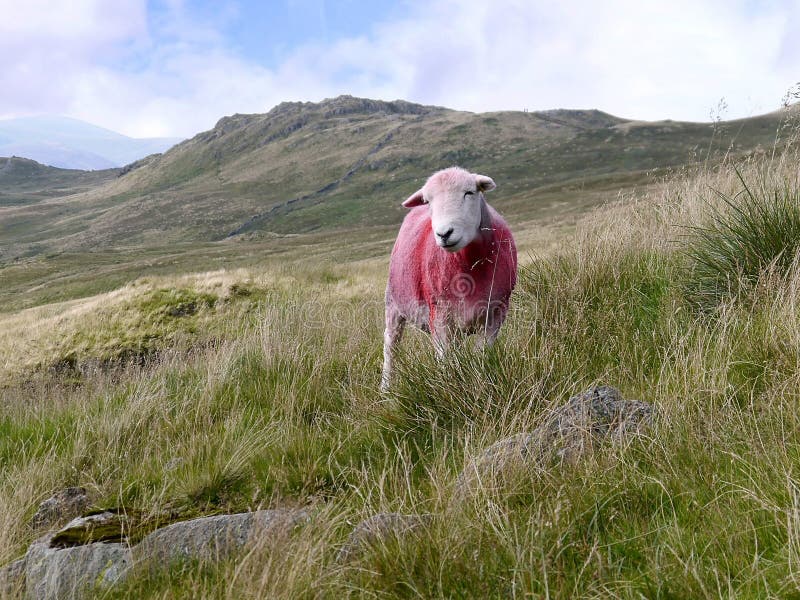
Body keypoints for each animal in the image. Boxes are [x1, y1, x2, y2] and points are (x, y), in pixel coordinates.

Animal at [381, 166, 517, 390]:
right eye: (428, 201)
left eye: (469, 192)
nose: (444, 233)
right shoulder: (439, 316)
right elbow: (446, 362)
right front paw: (451, 388)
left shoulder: (496, 313)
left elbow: (481, 356)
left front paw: (479, 383)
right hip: (393, 303)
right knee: (391, 346)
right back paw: (386, 388)